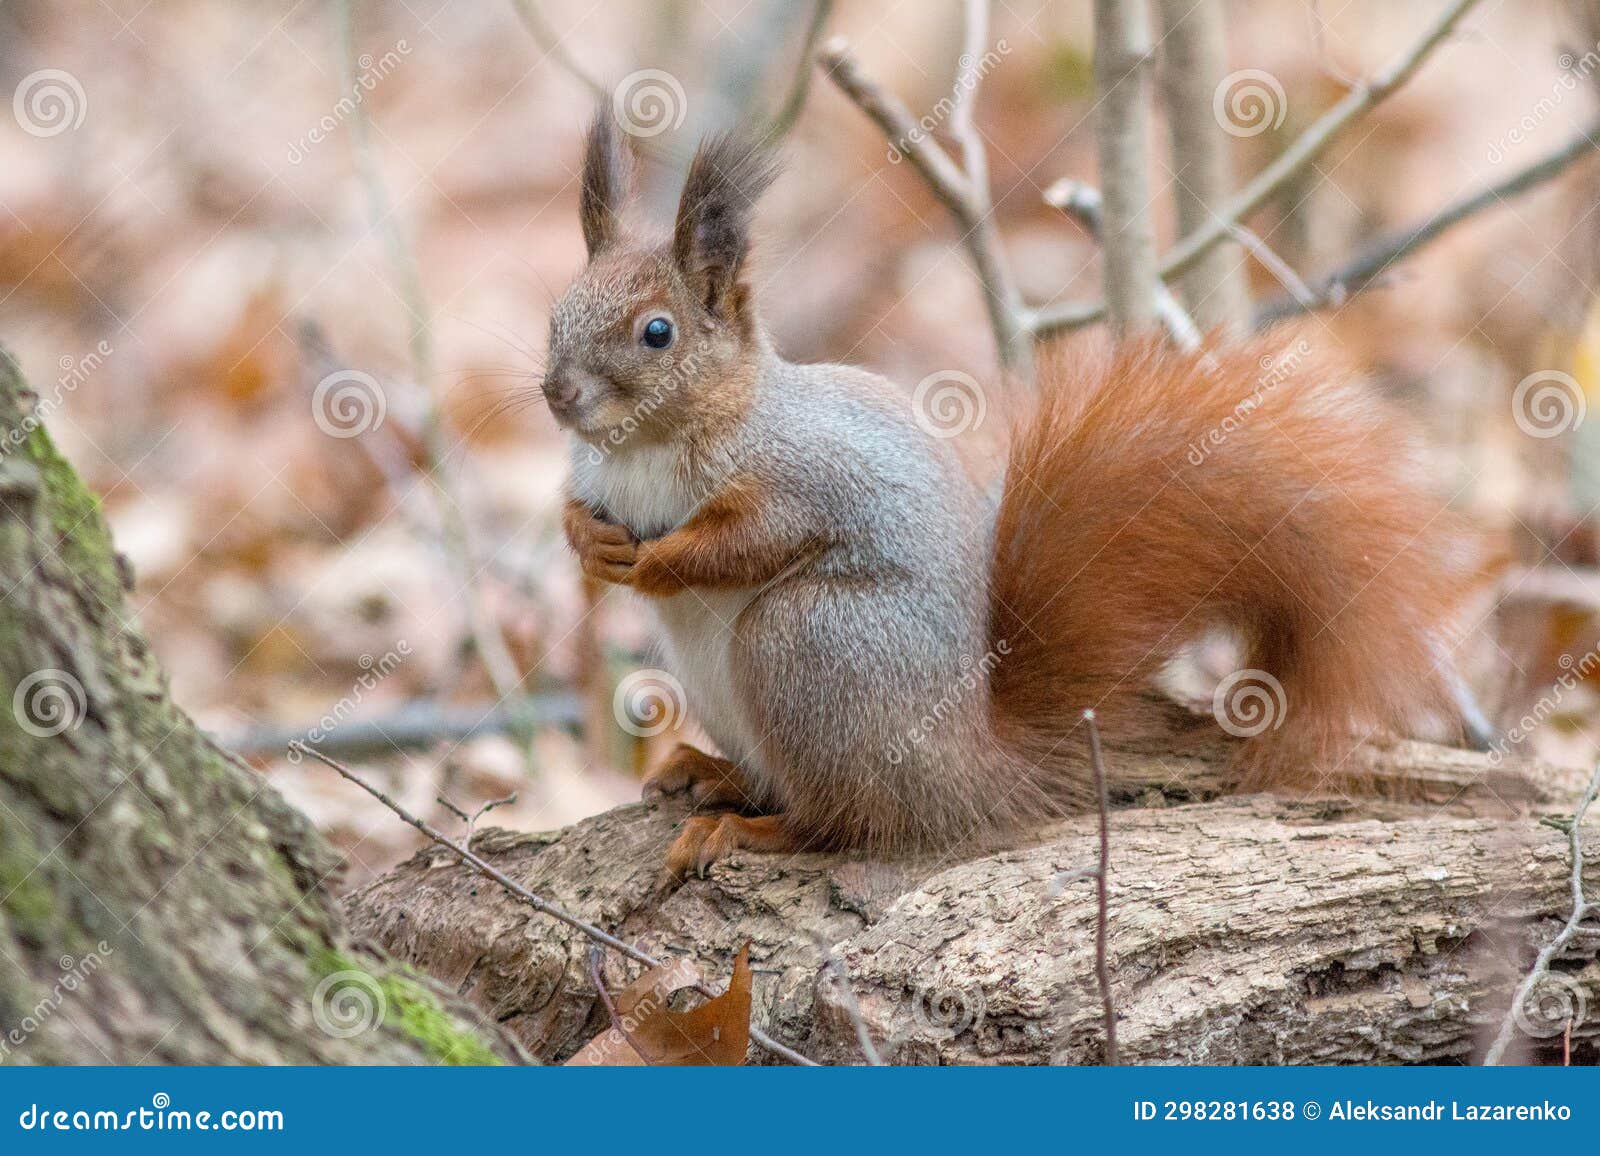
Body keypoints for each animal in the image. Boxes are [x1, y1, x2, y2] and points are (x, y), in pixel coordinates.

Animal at [545, 114, 1482, 880]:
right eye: (557, 313)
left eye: (657, 333)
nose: (557, 394)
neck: (644, 448)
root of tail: (969, 763)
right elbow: (572, 513)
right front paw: (593, 546)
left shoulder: (804, 477)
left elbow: (748, 538)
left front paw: (658, 562)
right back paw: (713, 773)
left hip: (808, 645)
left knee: (842, 821)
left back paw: (747, 830)